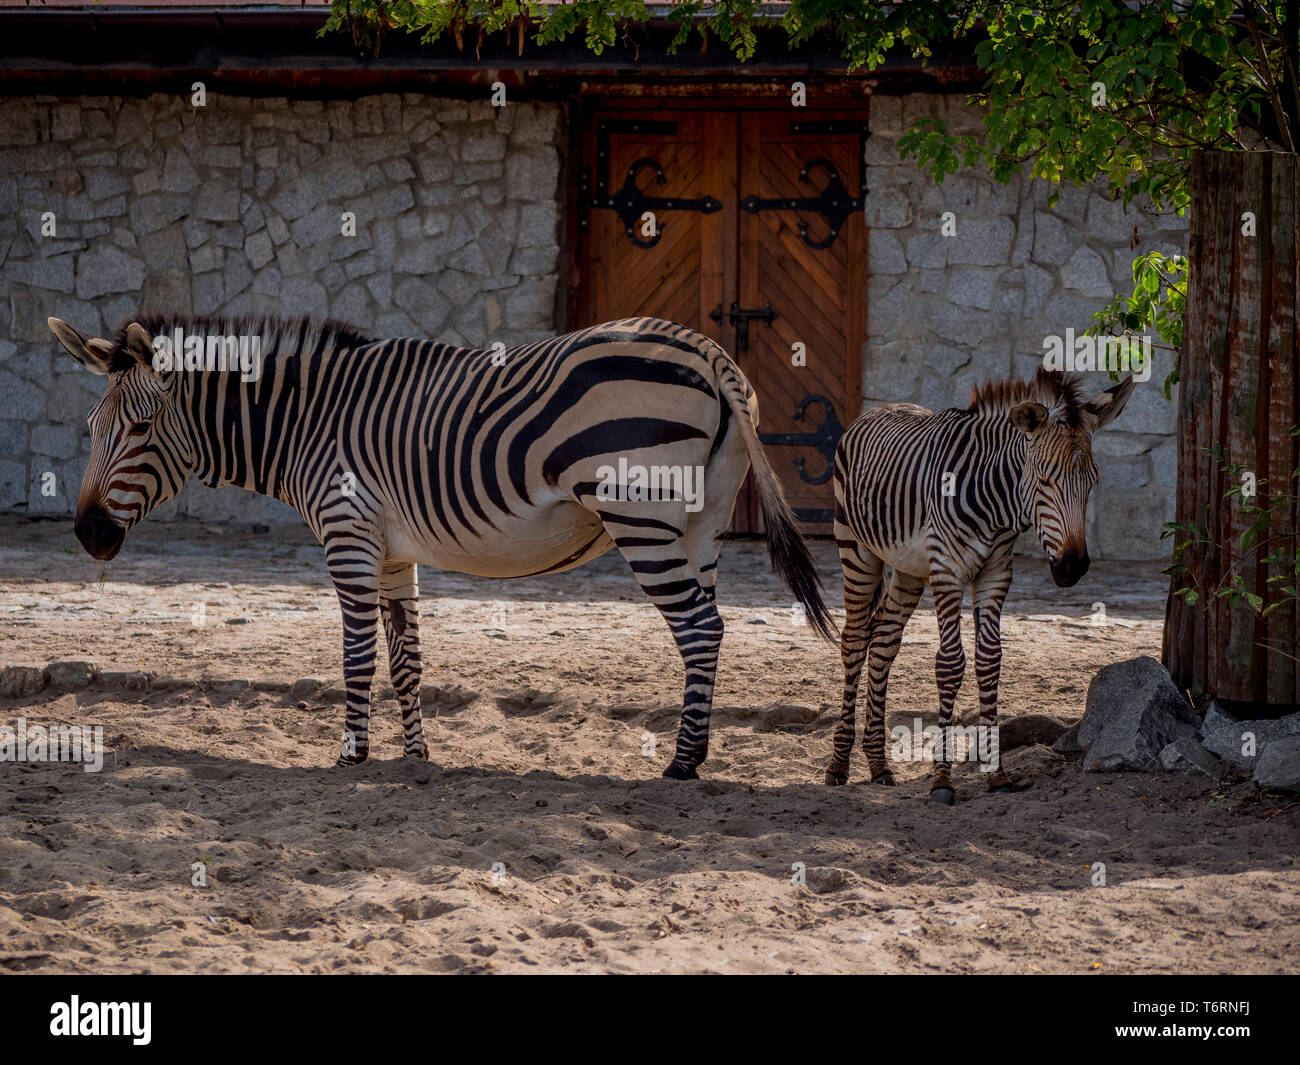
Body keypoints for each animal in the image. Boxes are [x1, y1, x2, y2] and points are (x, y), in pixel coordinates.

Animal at [48, 312, 835, 779]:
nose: (87, 533)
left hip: (642, 517)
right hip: (700, 521)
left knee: (698, 630)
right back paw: (692, 753)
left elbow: (357, 657)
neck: (308, 421)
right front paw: (417, 756)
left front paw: (353, 755)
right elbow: (407, 661)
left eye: (140, 429)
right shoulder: (394, 551)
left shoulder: (349, 535)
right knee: (715, 626)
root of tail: (710, 353)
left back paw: (682, 762)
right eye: (89, 427)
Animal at [825, 368, 1134, 804]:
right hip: (855, 547)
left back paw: (878, 765)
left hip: (908, 569)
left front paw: (997, 774)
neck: (995, 506)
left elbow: (990, 661)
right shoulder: (948, 571)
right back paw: (838, 765)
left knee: (883, 643)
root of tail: (877, 410)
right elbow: (950, 664)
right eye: (1043, 479)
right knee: (853, 640)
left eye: (1092, 481)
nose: (1072, 567)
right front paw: (942, 779)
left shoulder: (995, 574)